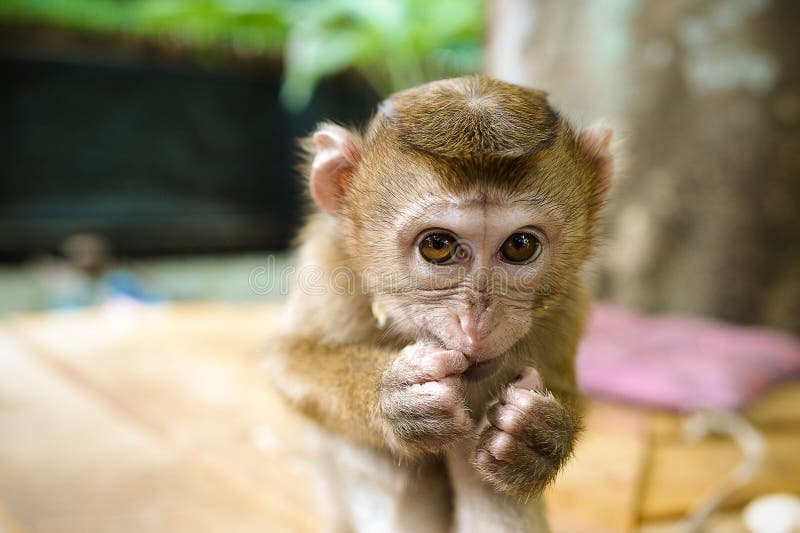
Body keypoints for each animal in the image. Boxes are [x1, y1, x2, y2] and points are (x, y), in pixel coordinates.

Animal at [265, 75, 614, 533]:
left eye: (520, 245)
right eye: (437, 245)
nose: (477, 323)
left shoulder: (569, 301)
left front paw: (538, 438)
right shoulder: (327, 263)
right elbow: (287, 360)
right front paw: (395, 400)